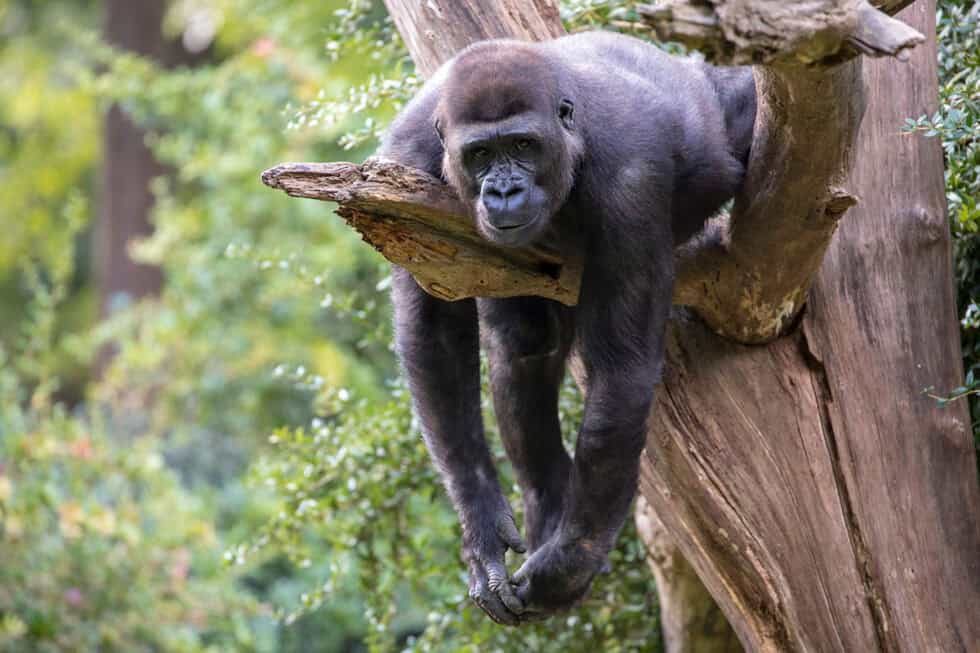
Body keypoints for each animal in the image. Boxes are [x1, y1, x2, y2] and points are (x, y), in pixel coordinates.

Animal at [378, 31, 756, 625]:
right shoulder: (409, 155)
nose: (503, 192)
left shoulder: (631, 187)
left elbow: (621, 371)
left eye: (524, 146)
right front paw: (481, 523)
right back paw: (545, 496)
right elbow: (434, 335)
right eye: (480, 154)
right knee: (524, 345)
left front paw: (570, 565)